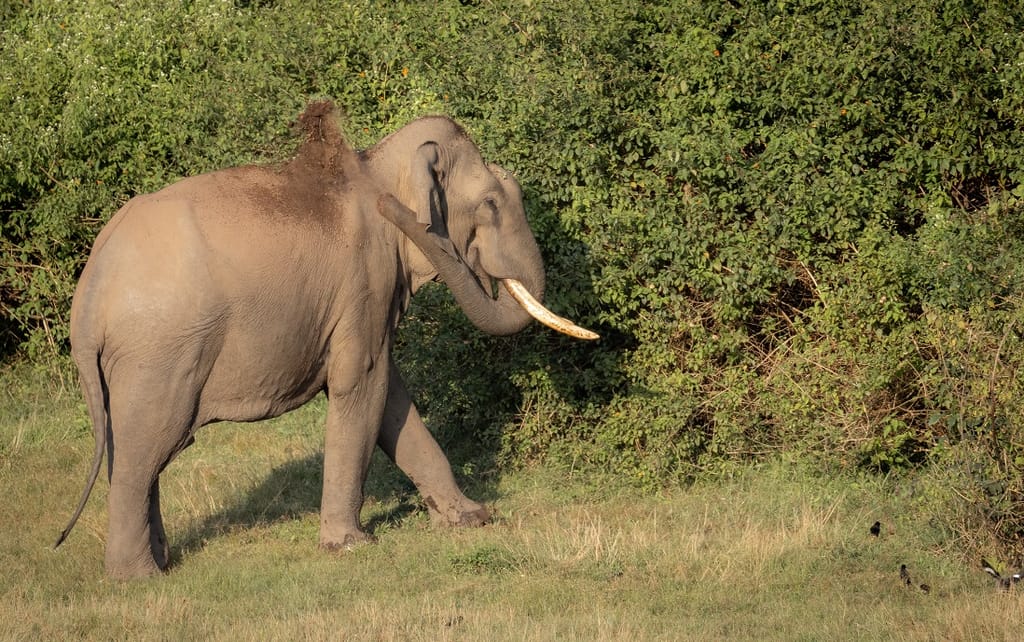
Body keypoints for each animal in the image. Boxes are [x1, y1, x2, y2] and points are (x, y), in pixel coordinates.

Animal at [54, 100, 597, 579]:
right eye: (489, 203)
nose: (391, 208)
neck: (379, 170)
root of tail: (89, 294)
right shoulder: (366, 280)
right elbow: (363, 387)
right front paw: (351, 546)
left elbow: (393, 399)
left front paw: (471, 518)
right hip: (160, 354)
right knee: (145, 451)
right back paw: (139, 578)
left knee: (134, 449)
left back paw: (159, 563)